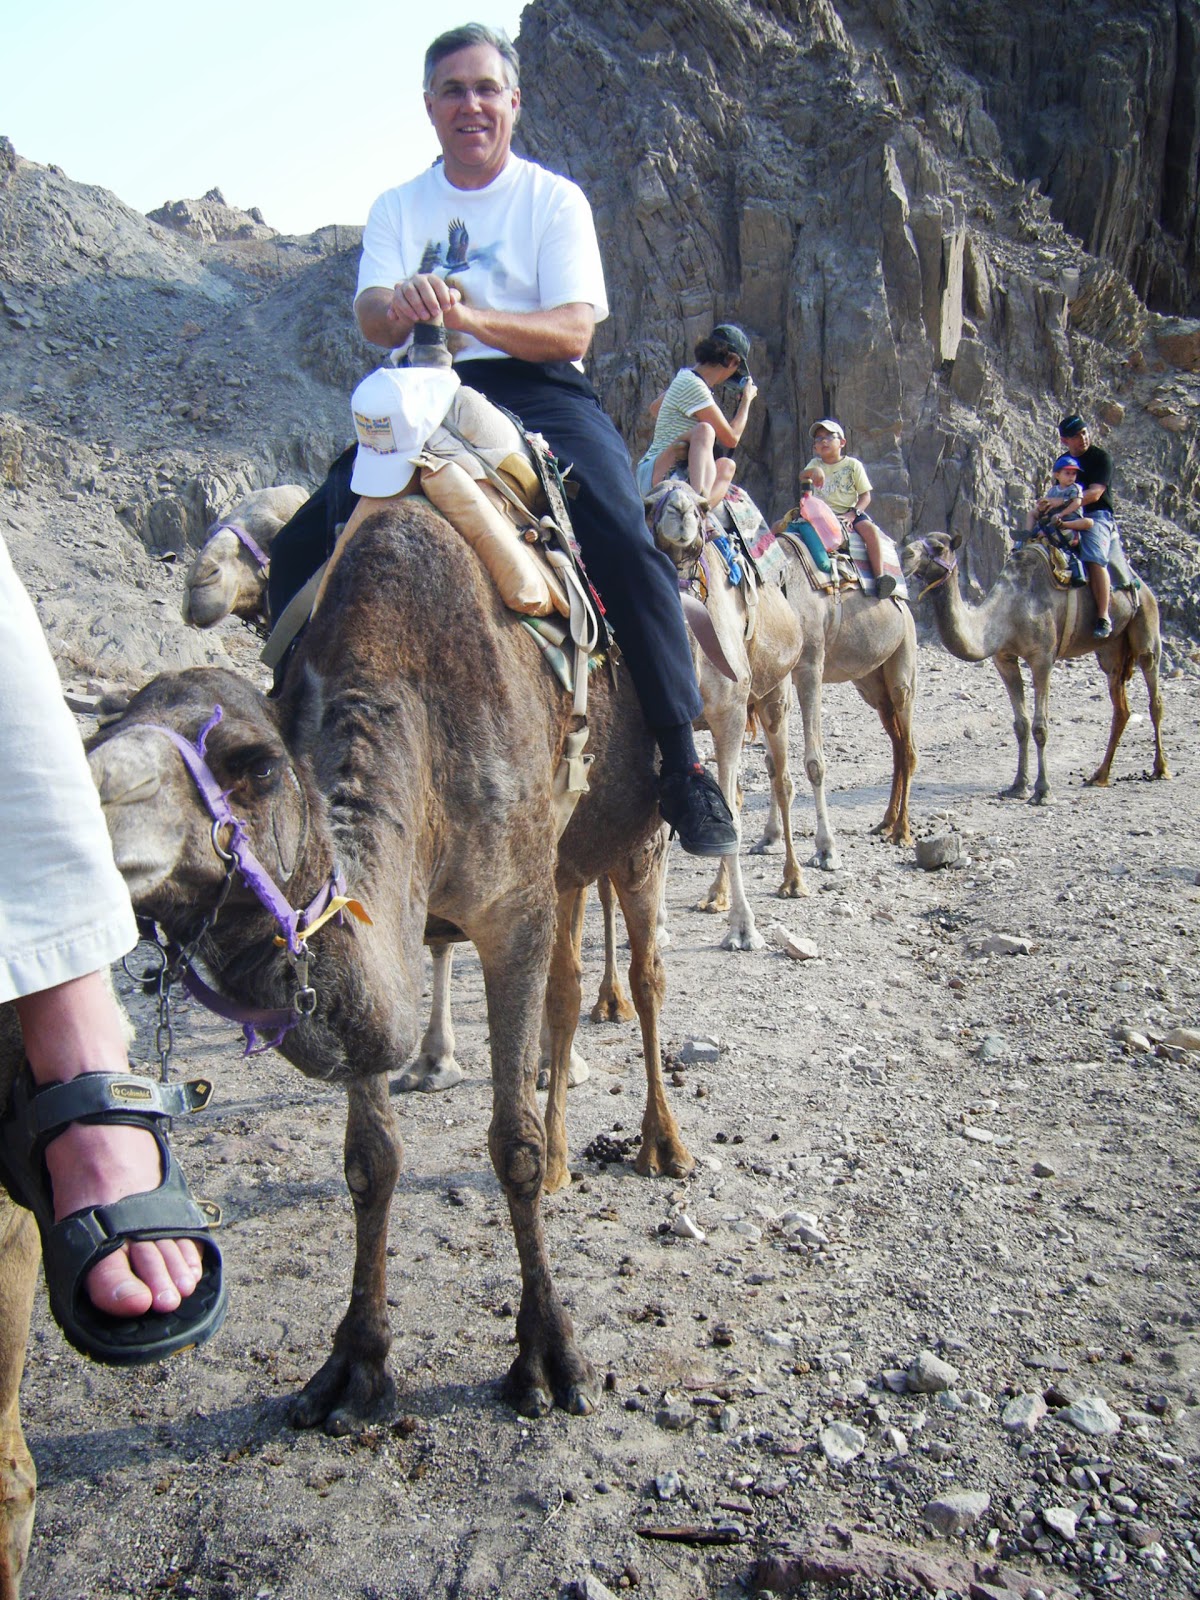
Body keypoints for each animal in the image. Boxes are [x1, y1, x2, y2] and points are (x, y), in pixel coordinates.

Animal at [902, 532, 1168, 802]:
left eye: (938, 547)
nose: (905, 554)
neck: (1007, 614)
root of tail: (1141, 583)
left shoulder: (1042, 658)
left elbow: (1040, 727)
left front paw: (1042, 790)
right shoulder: (1004, 659)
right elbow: (1021, 724)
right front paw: (1018, 786)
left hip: (1146, 625)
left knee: (1154, 694)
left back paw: (1160, 770)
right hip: (1111, 650)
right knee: (1120, 706)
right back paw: (1099, 775)